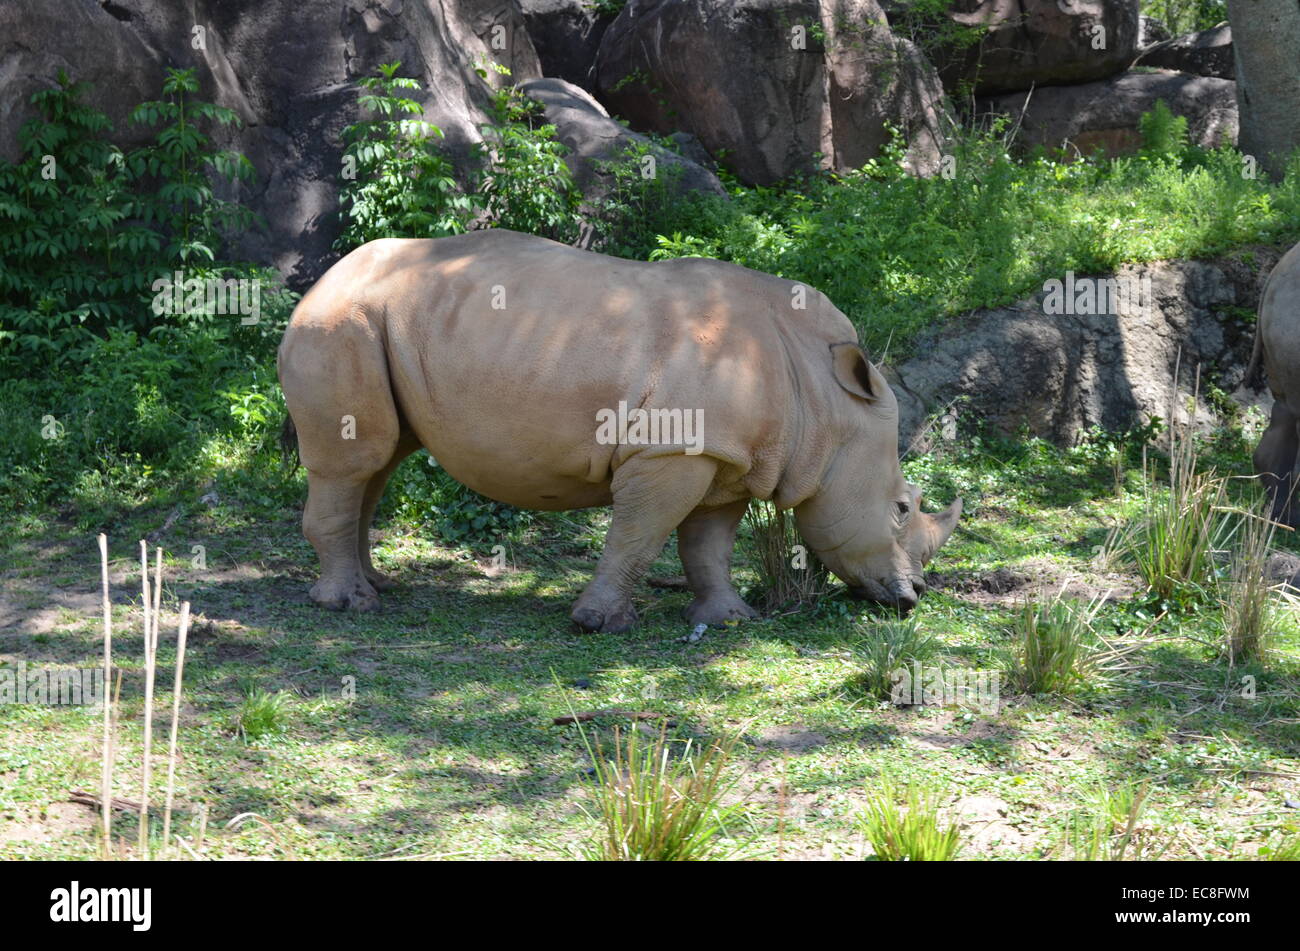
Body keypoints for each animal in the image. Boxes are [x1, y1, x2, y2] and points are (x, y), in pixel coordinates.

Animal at [277, 230, 961, 631]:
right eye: (902, 507)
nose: (912, 599)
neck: (823, 401)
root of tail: (319, 282)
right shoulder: (671, 452)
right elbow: (639, 536)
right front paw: (599, 623)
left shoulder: (727, 457)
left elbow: (706, 546)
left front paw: (730, 618)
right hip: (340, 324)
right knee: (356, 459)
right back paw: (349, 605)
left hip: (378, 323)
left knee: (379, 459)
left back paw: (374, 586)